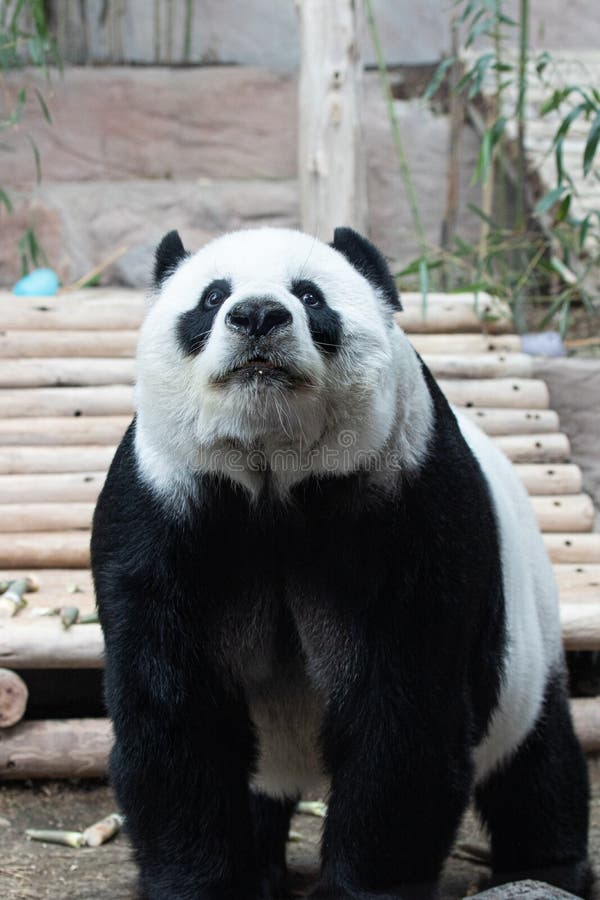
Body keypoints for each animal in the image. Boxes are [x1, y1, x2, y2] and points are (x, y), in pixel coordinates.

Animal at [91, 226, 591, 900]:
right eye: (212, 297)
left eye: (310, 295)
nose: (257, 315)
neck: (273, 477)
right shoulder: (164, 511)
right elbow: (174, 709)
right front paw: (201, 884)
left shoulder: (403, 504)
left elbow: (400, 710)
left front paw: (364, 886)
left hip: (530, 632)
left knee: (537, 757)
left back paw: (549, 867)